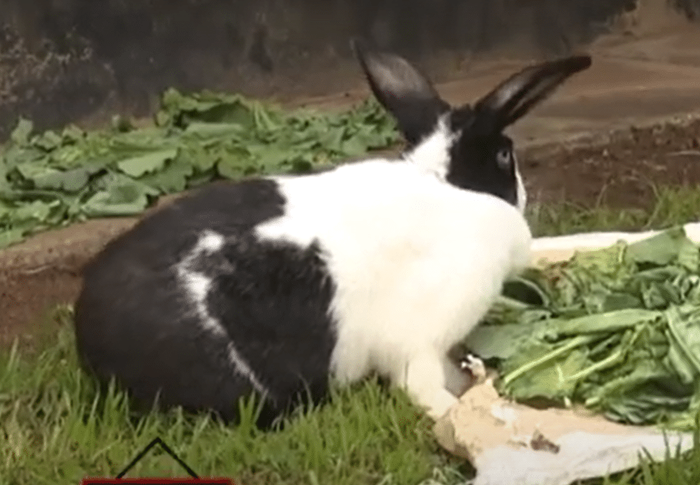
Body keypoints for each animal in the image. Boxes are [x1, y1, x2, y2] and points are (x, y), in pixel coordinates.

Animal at [73, 40, 592, 427]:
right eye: (504, 156)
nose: (522, 195)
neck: (448, 185)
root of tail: (92, 342)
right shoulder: (421, 340)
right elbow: (424, 386)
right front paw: (463, 409)